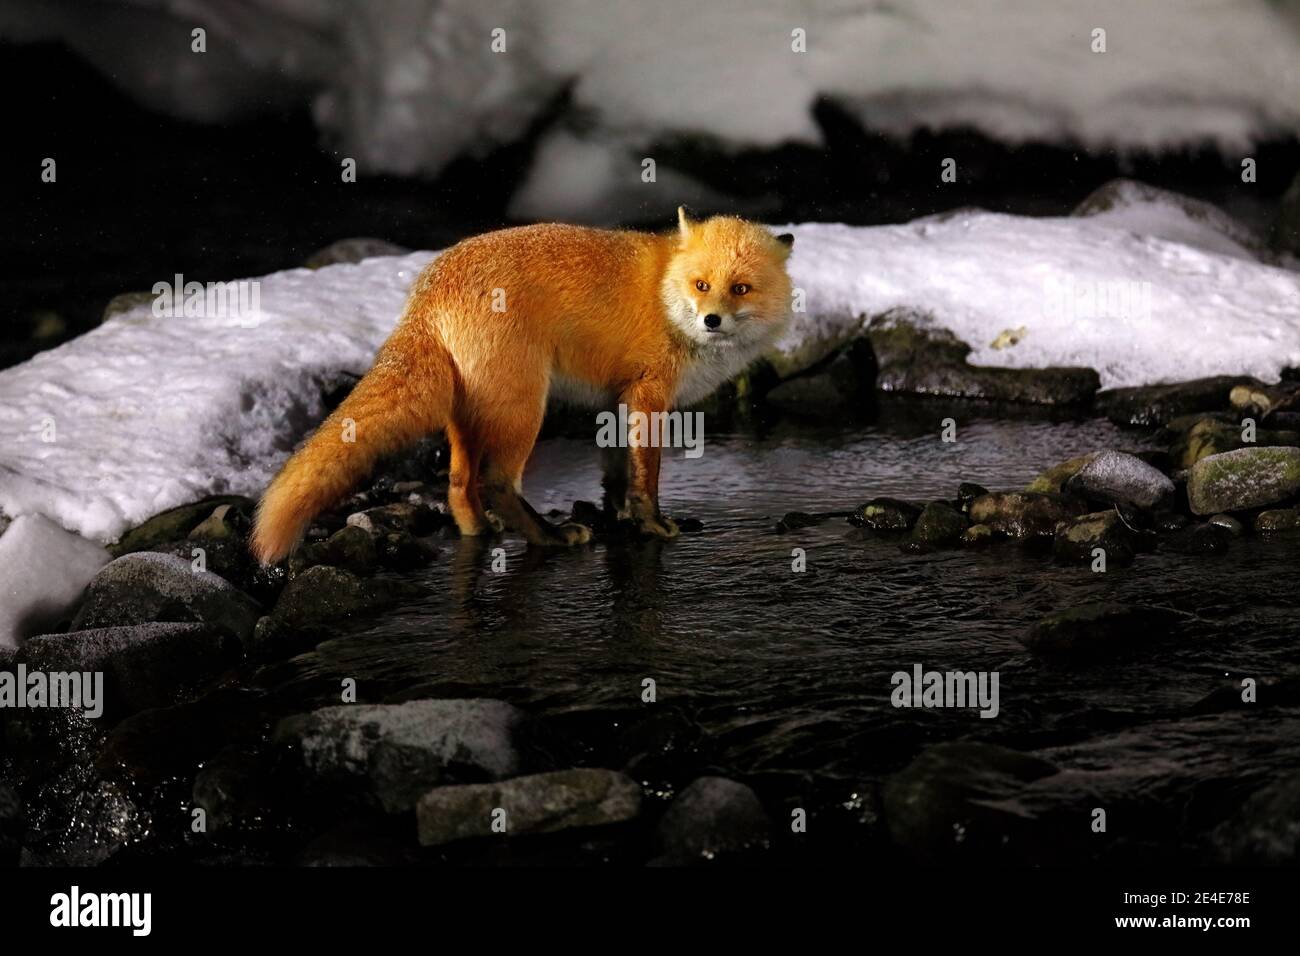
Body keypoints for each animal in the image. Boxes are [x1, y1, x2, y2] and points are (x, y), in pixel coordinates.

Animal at [250, 207, 795, 564]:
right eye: (702, 285)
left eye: (740, 288)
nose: (711, 320)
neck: (665, 298)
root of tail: (426, 290)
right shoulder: (647, 396)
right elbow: (645, 478)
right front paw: (651, 524)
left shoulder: (616, 400)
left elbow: (616, 474)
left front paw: (619, 516)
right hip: (525, 408)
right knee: (495, 481)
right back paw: (549, 537)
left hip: (470, 413)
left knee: (458, 484)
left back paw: (479, 530)